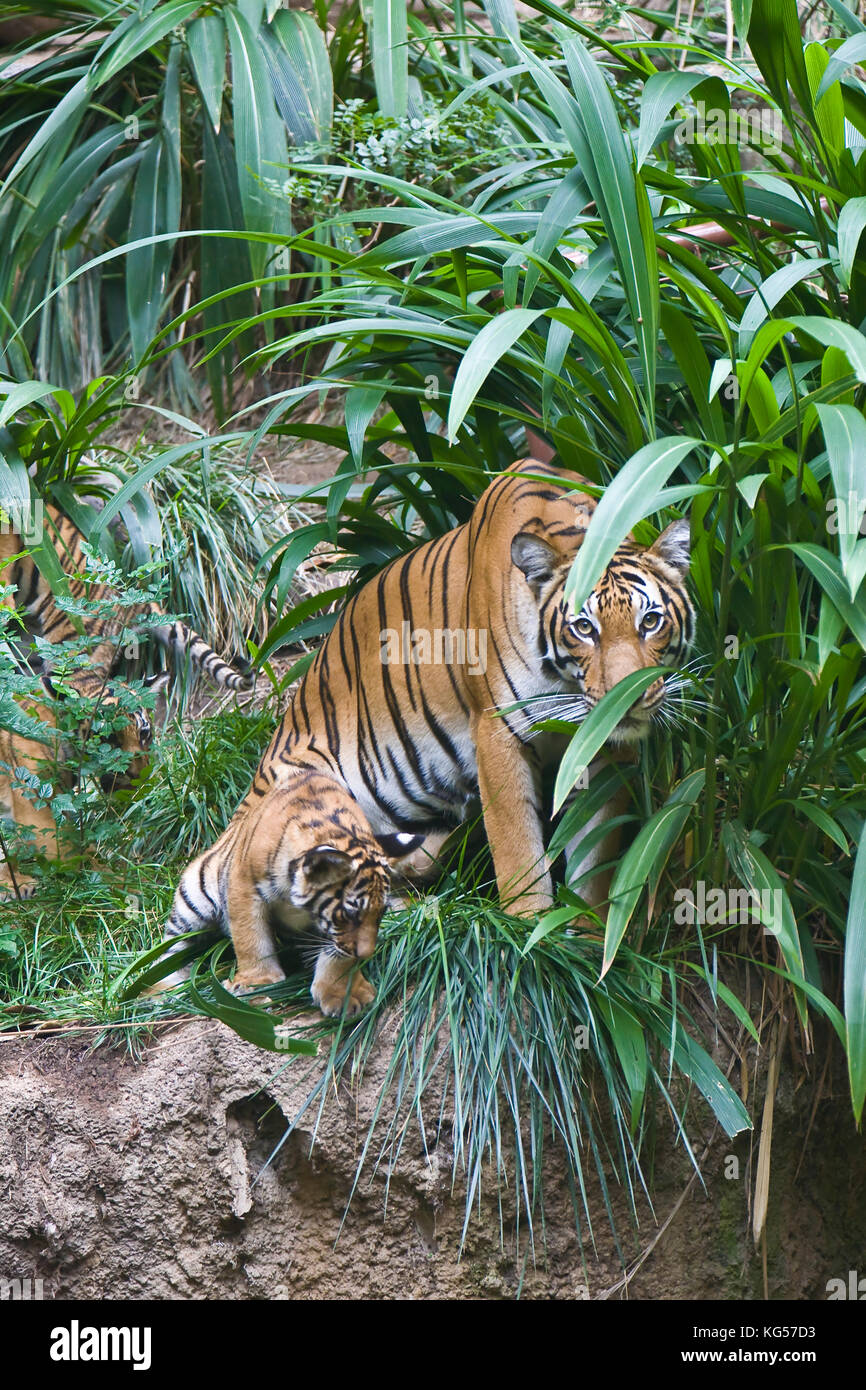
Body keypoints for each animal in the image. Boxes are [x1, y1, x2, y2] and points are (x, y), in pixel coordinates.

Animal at [158, 459, 694, 1017]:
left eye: (650, 621)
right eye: (584, 628)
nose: (626, 700)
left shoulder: (602, 748)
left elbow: (597, 850)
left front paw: (588, 939)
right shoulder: (499, 731)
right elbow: (518, 849)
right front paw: (532, 935)